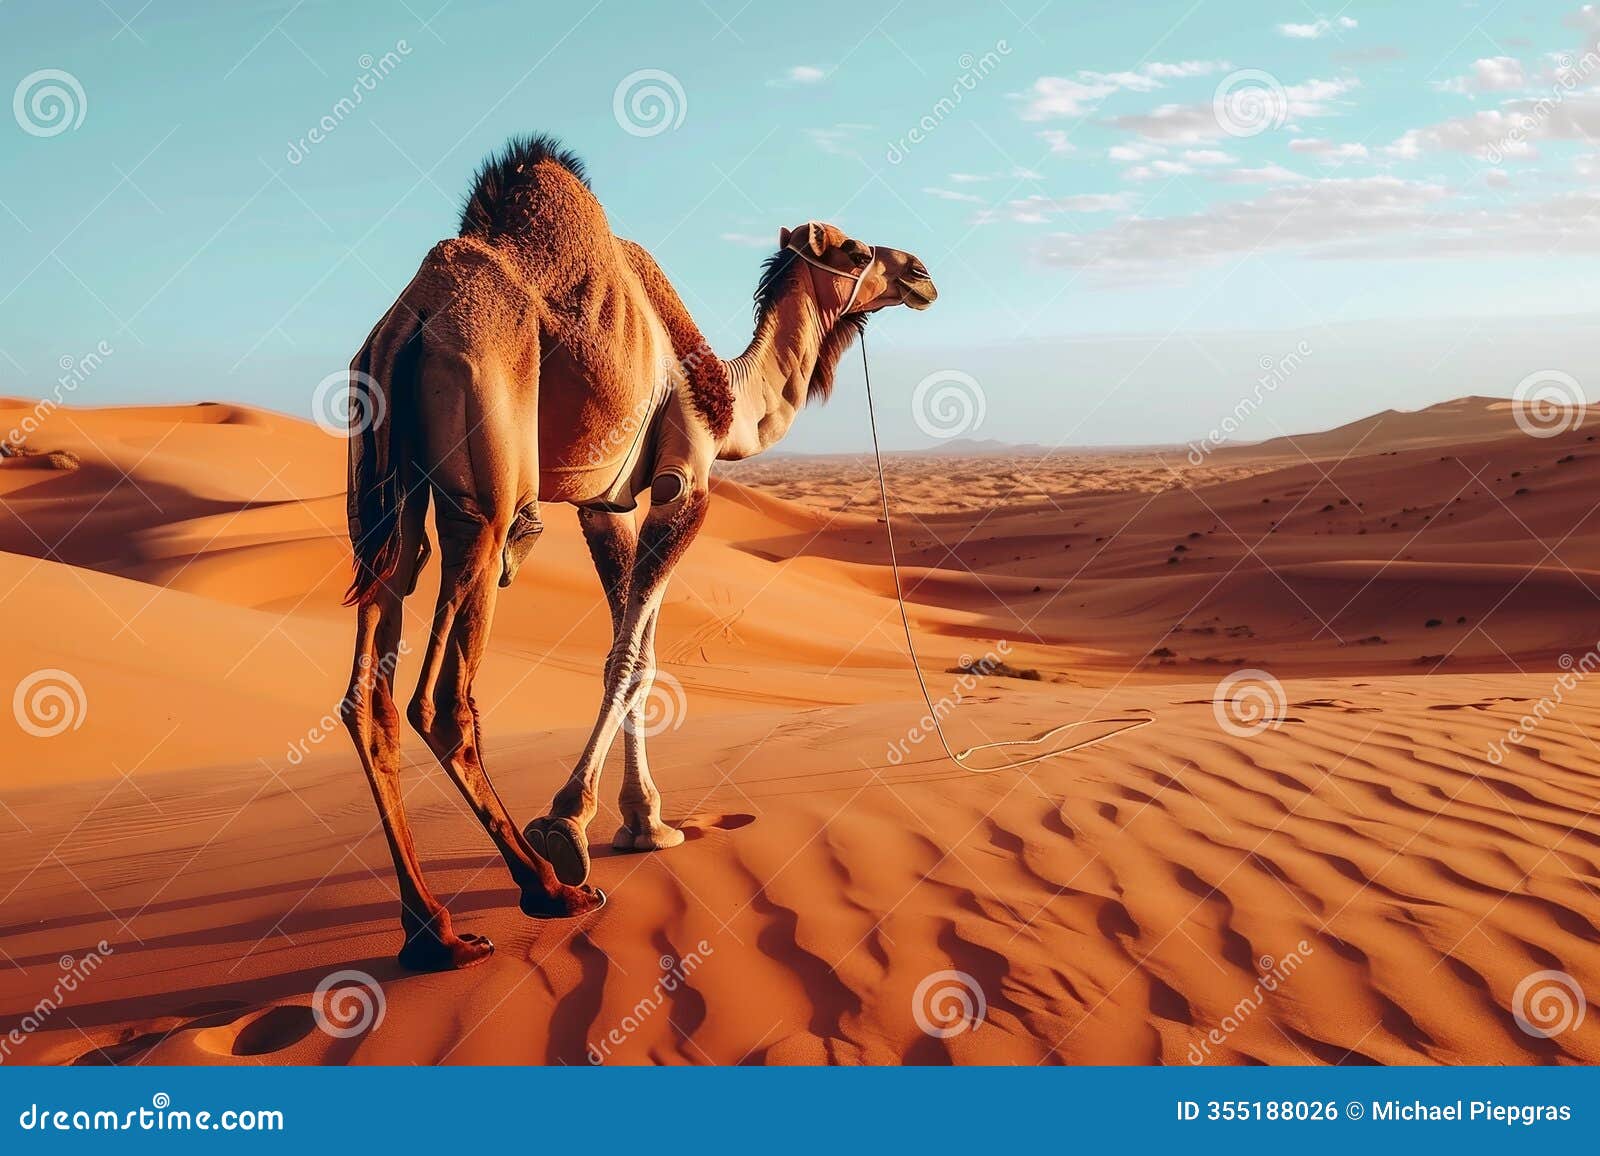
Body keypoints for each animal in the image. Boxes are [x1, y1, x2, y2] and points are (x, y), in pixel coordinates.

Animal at [340, 134, 937, 971]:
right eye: (855, 249)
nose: (920, 272)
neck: (731, 402)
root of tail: (410, 321)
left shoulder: (605, 505)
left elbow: (636, 650)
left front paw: (642, 823)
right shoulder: (685, 482)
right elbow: (632, 657)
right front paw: (569, 824)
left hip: (385, 503)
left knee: (370, 694)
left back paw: (434, 934)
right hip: (486, 500)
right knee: (442, 699)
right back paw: (546, 892)